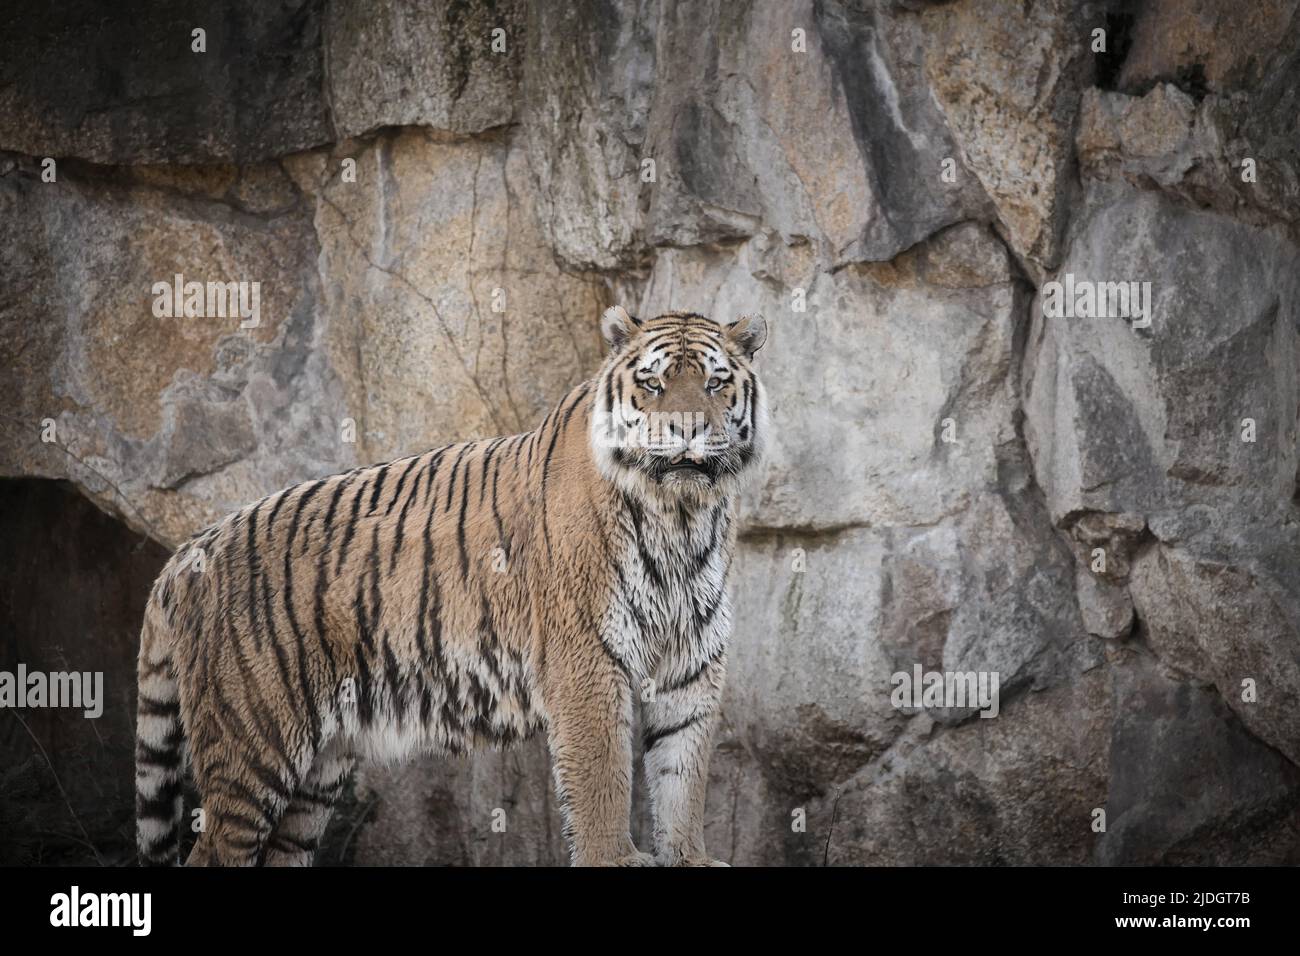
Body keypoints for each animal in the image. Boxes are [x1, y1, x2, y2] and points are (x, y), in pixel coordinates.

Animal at [134, 306, 768, 866]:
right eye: (653, 383)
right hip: (254, 739)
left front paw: (689, 858)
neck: (679, 515)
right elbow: (603, 779)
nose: (686, 429)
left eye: (714, 382)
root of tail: (193, 548)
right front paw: (615, 859)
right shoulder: (587, 658)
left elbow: (682, 776)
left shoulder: (692, 663)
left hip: (318, 770)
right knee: (213, 851)